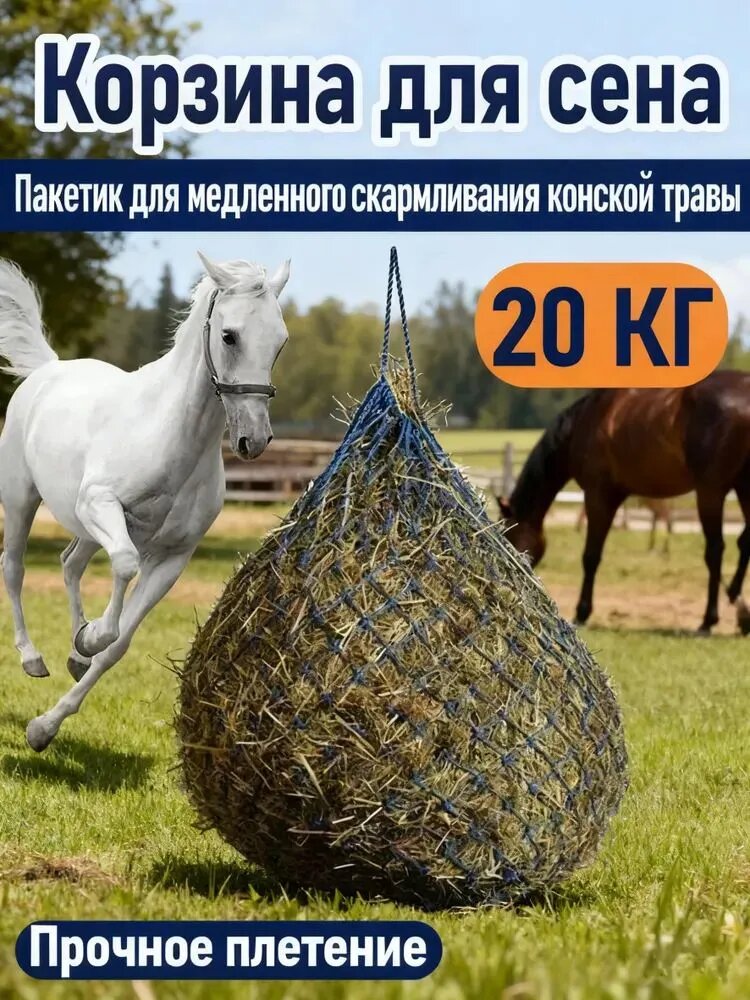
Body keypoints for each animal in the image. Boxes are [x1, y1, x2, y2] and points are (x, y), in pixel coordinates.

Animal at [0, 251, 290, 751]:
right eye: (229, 336)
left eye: (280, 343)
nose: (254, 440)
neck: (170, 436)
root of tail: (46, 371)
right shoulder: (102, 506)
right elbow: (123, 566)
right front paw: (91, 637)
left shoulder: (173, 557)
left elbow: (117, 646)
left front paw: (46, 723)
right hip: (22, 499)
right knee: (15, 568)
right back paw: (33, 658)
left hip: (81, 528)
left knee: (70, 563)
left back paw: (74, 649)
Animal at [495, 373, 750, 635]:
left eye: (508, 537)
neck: (584, 422)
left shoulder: (598, 496)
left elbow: (591, 556)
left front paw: (582, 613)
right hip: (743, 487)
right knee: (744, 542)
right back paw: (739, 606)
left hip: (711, 492)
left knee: (715, 550)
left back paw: (709, 620)